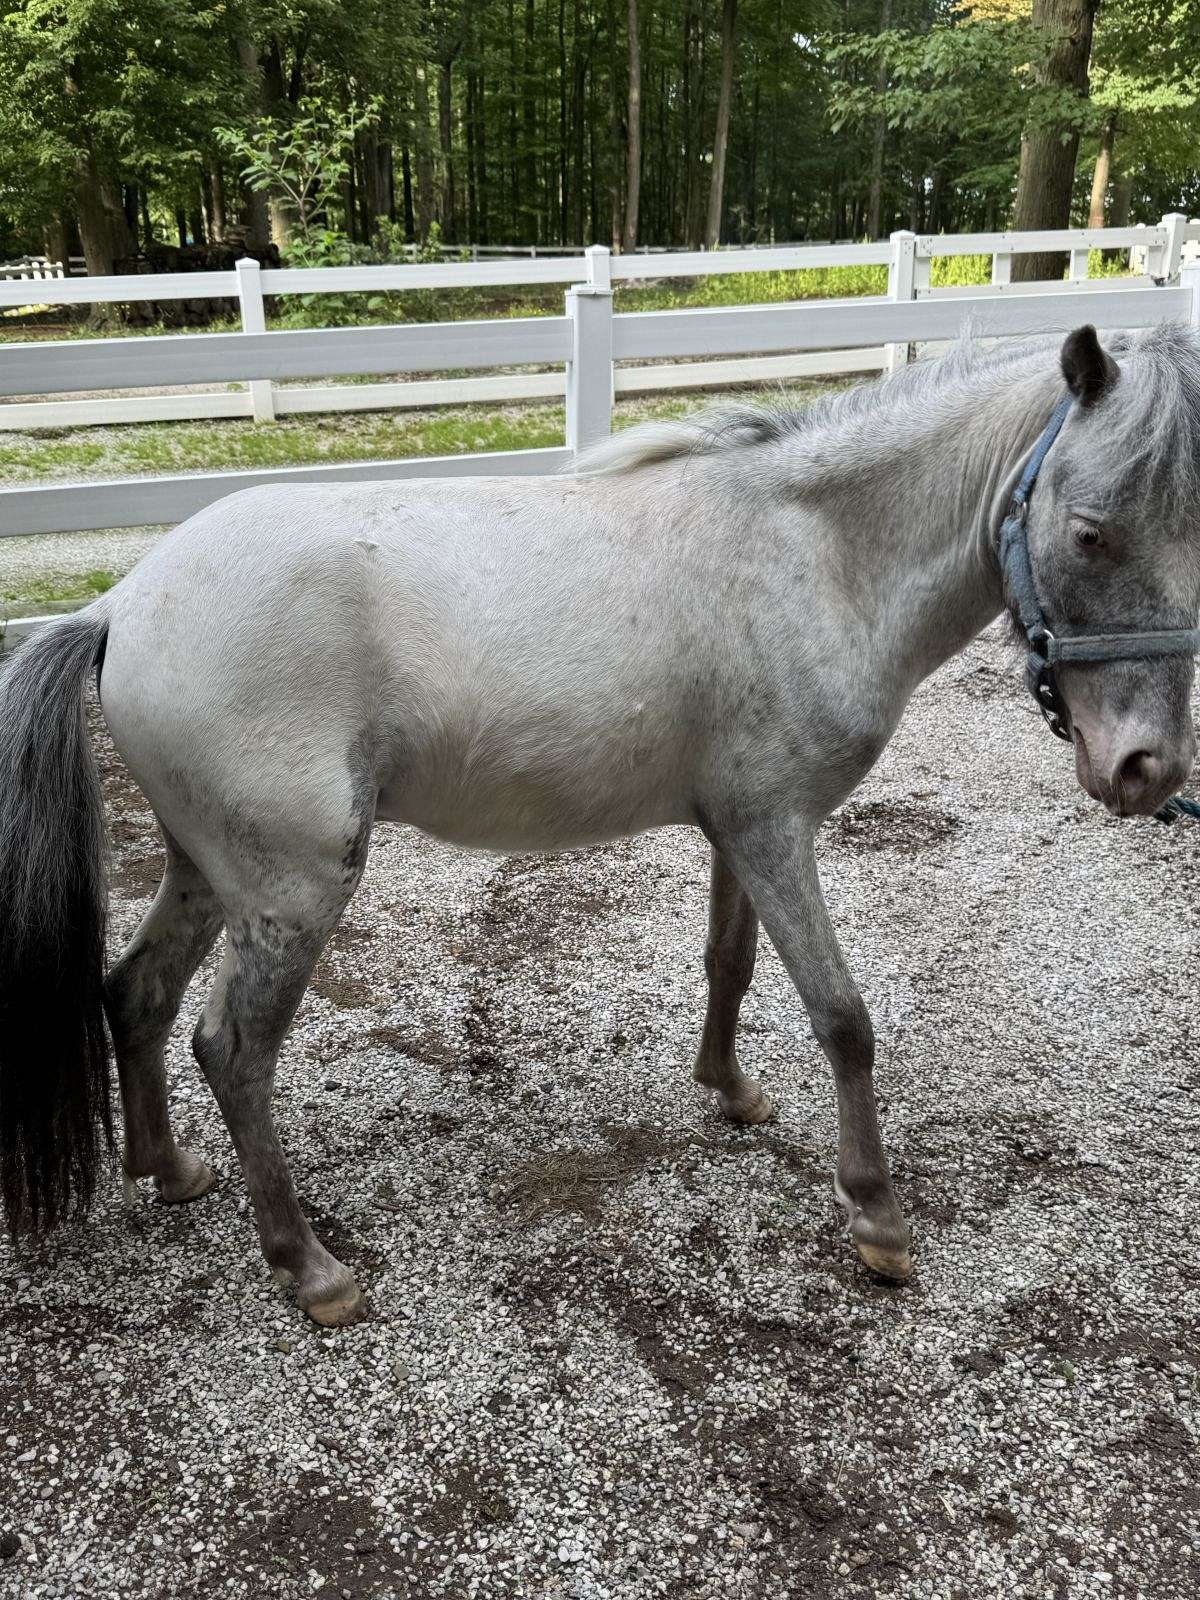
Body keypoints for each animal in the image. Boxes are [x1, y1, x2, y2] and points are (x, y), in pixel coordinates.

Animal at [3, 323, 1198, 1327]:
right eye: (1090, 532)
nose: (1146, 770)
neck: (812, 556)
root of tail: (119, 604)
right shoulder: (777, 830)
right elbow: (843, 1018)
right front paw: (876, 1217)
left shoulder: (739, 827)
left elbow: (728, 964)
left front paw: (730, 1090)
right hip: (292, 888)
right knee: (232, 1049)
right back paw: (310, 1267)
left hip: (211, 872)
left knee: (137, 996)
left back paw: (170, 1172)